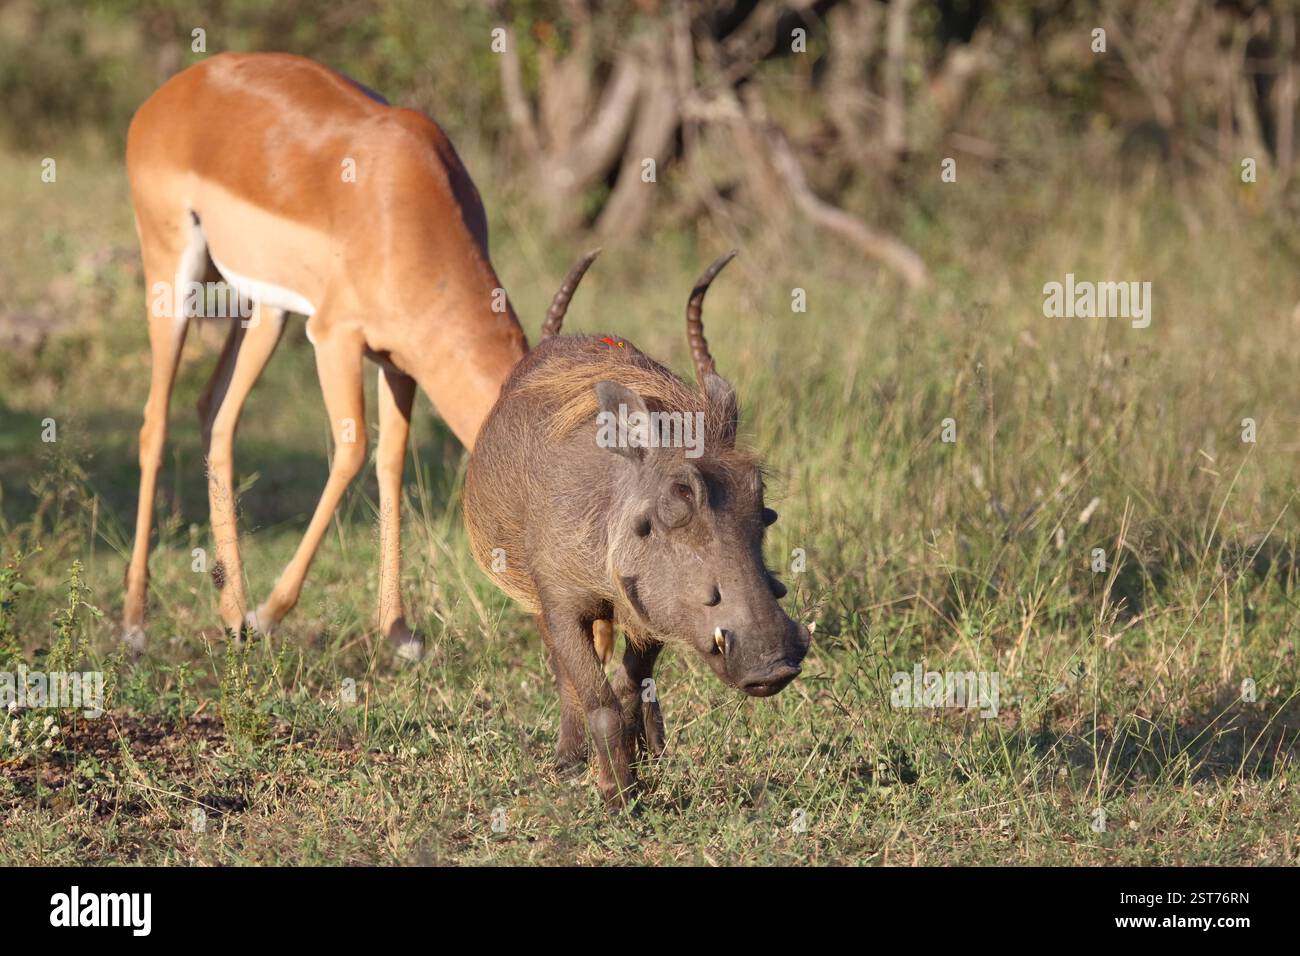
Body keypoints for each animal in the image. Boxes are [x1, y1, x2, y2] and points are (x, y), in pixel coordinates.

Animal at [121, 52, 558, 655]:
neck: (411, 197)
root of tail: (170, 94)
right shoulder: (334, 339)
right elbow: (351, 454)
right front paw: (269, 614)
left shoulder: (400, 363)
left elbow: (391, 463)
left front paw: (398, 631)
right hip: (175, 278)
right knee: (161, 422)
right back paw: (142, 623)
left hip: (261, 309)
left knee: (214, 412)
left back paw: (230, 611)